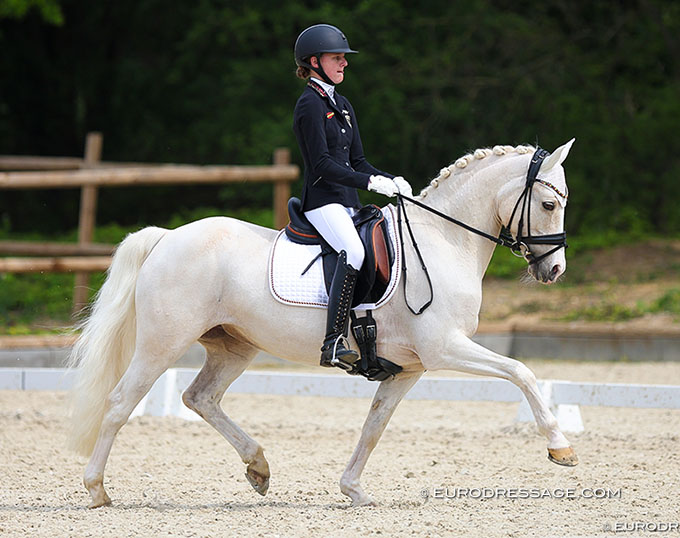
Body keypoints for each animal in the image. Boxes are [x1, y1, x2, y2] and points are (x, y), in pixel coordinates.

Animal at [68, 139, 577, 509]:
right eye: (549, 205)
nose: (554, 271)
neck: (442, 241)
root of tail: (167, 237)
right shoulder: (444, 348)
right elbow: (521, 372)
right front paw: (560, 447)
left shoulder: (409, 368)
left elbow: (374, 426)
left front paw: (354, 490)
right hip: (163, 342)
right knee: (120, 402)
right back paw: (97, 490)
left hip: (235, 346)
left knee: (200, 397)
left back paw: (259, 468)